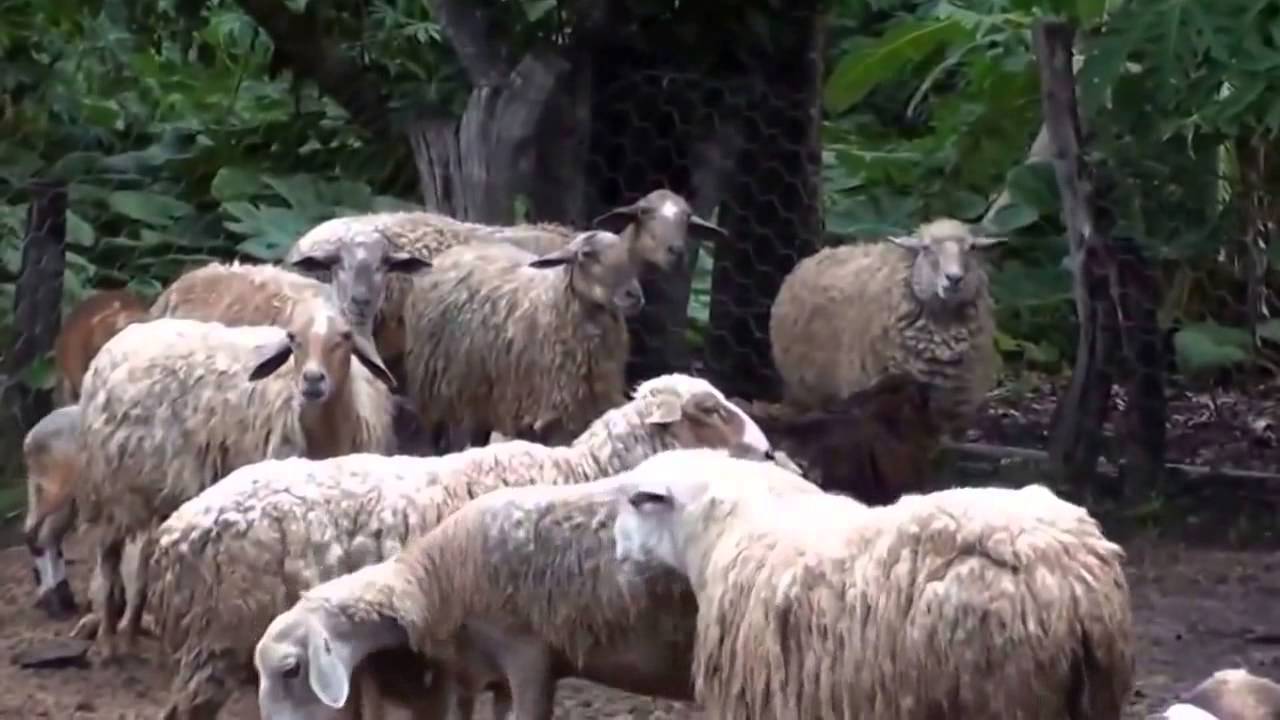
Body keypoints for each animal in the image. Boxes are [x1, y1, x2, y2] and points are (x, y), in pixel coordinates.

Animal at [75, 315, 399, 661]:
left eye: (346, 337)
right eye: (293, 339)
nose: (313, 381)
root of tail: (120, 340)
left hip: (157, 495)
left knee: (142, 563)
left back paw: (130, 635)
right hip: (110, 490)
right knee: (109, 559)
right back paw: (107, 640)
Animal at [404, 229, 644, 452]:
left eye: (626, 252)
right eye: (586, 254)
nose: (634, 295)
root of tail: (448, 255)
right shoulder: (552, 412)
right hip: (444, 395)